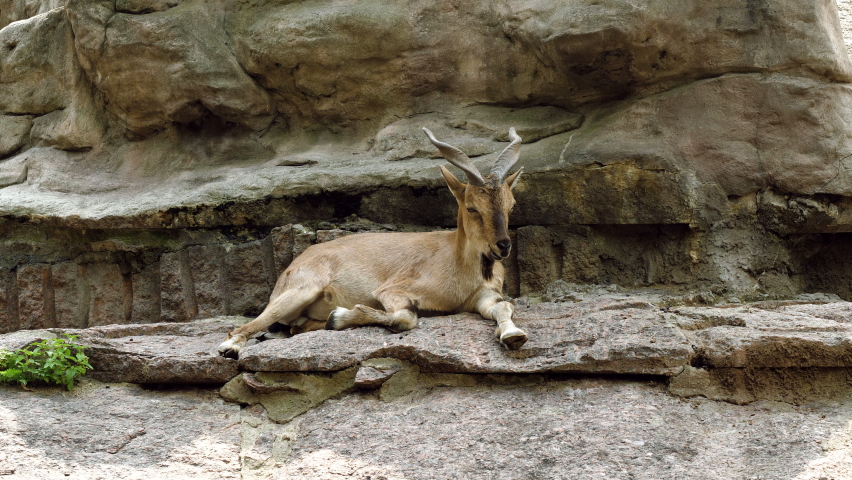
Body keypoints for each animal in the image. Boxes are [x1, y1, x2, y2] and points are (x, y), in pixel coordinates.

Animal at [217, 127, 528, 358]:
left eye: (511, 205)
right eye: (473, 208)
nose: (503, 246)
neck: (457, 263)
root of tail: (294, 264)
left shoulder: (482, 297)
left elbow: (504, 307)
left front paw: (514, 335)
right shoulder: (394, 290)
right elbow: (405, 317)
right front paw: (340, 316)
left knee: (295, 327)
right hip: (301, 288)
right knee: (253, 324)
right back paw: (230, 347)